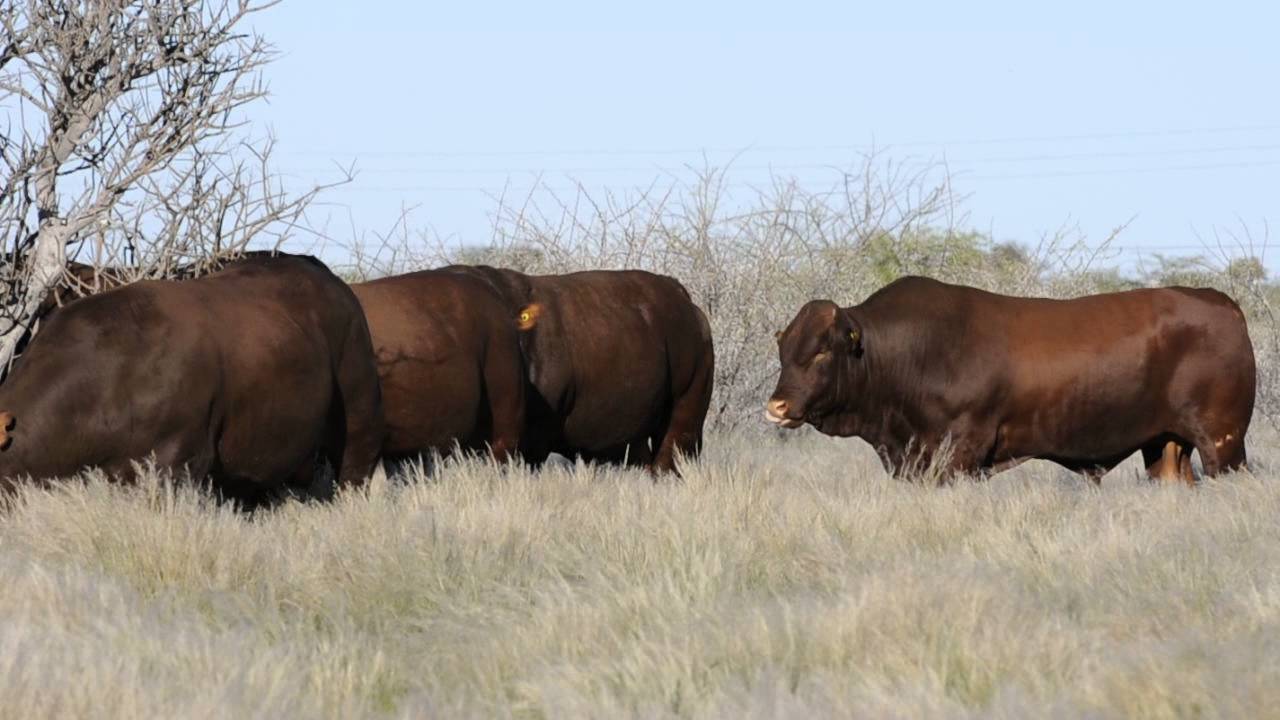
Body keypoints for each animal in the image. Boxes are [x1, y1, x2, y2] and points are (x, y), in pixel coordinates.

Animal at [765, 276, 1256, 484]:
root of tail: (1219, 301)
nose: (777, 407)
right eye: (783, 349)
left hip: (1223, 442)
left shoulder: (958, 454)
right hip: (1165, 444)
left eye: (822, 350)